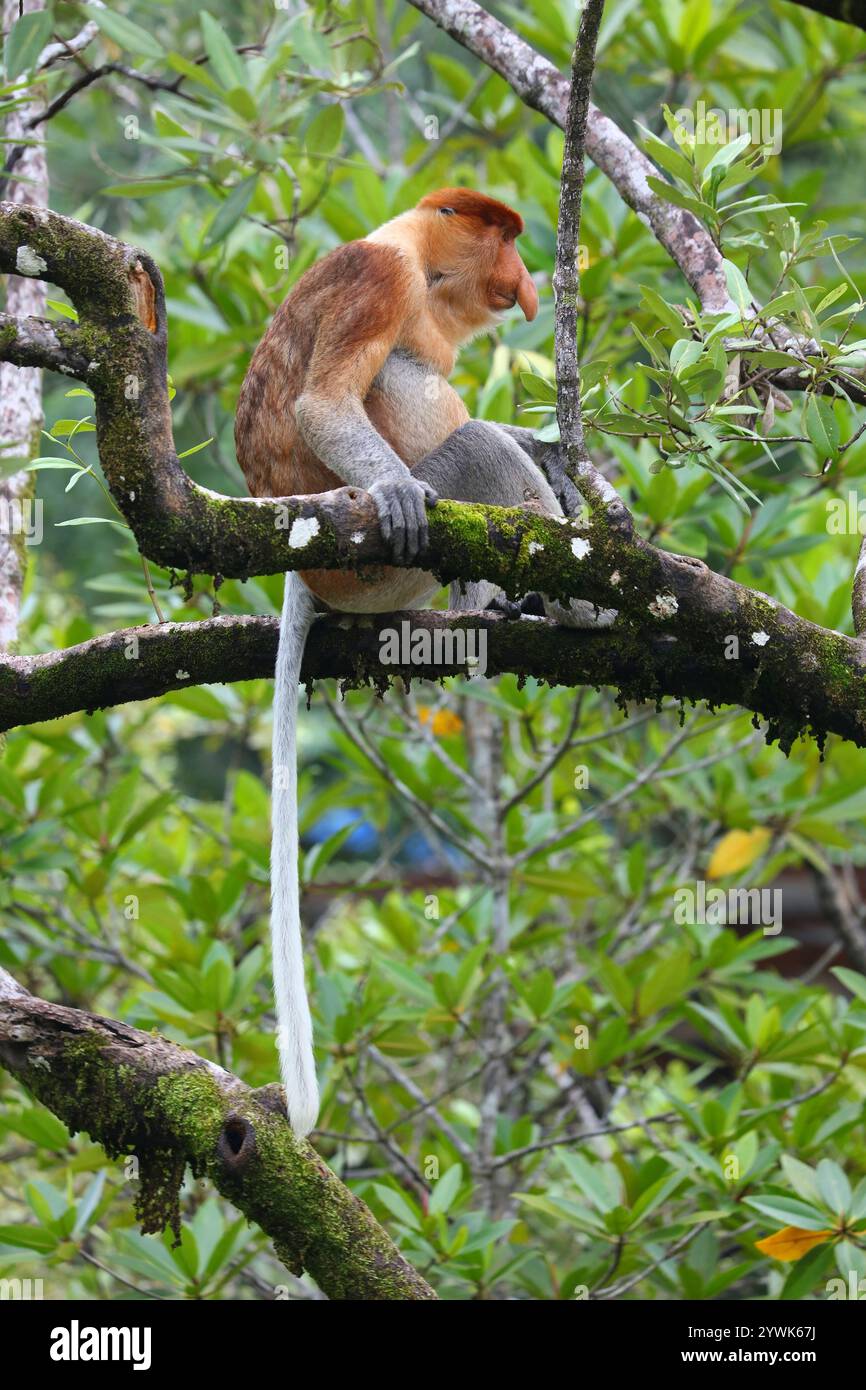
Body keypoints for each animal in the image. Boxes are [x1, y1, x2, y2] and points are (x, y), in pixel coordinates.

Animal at [235, 188, 615, 1136]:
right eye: (504, 239)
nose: (523, 279)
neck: (409, 251)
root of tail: (304, 565)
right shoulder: (377, 279)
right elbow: (326, 405)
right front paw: (404, 490)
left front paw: (553, 449)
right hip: (380, 566)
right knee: (466, 438)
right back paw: (582, 607)